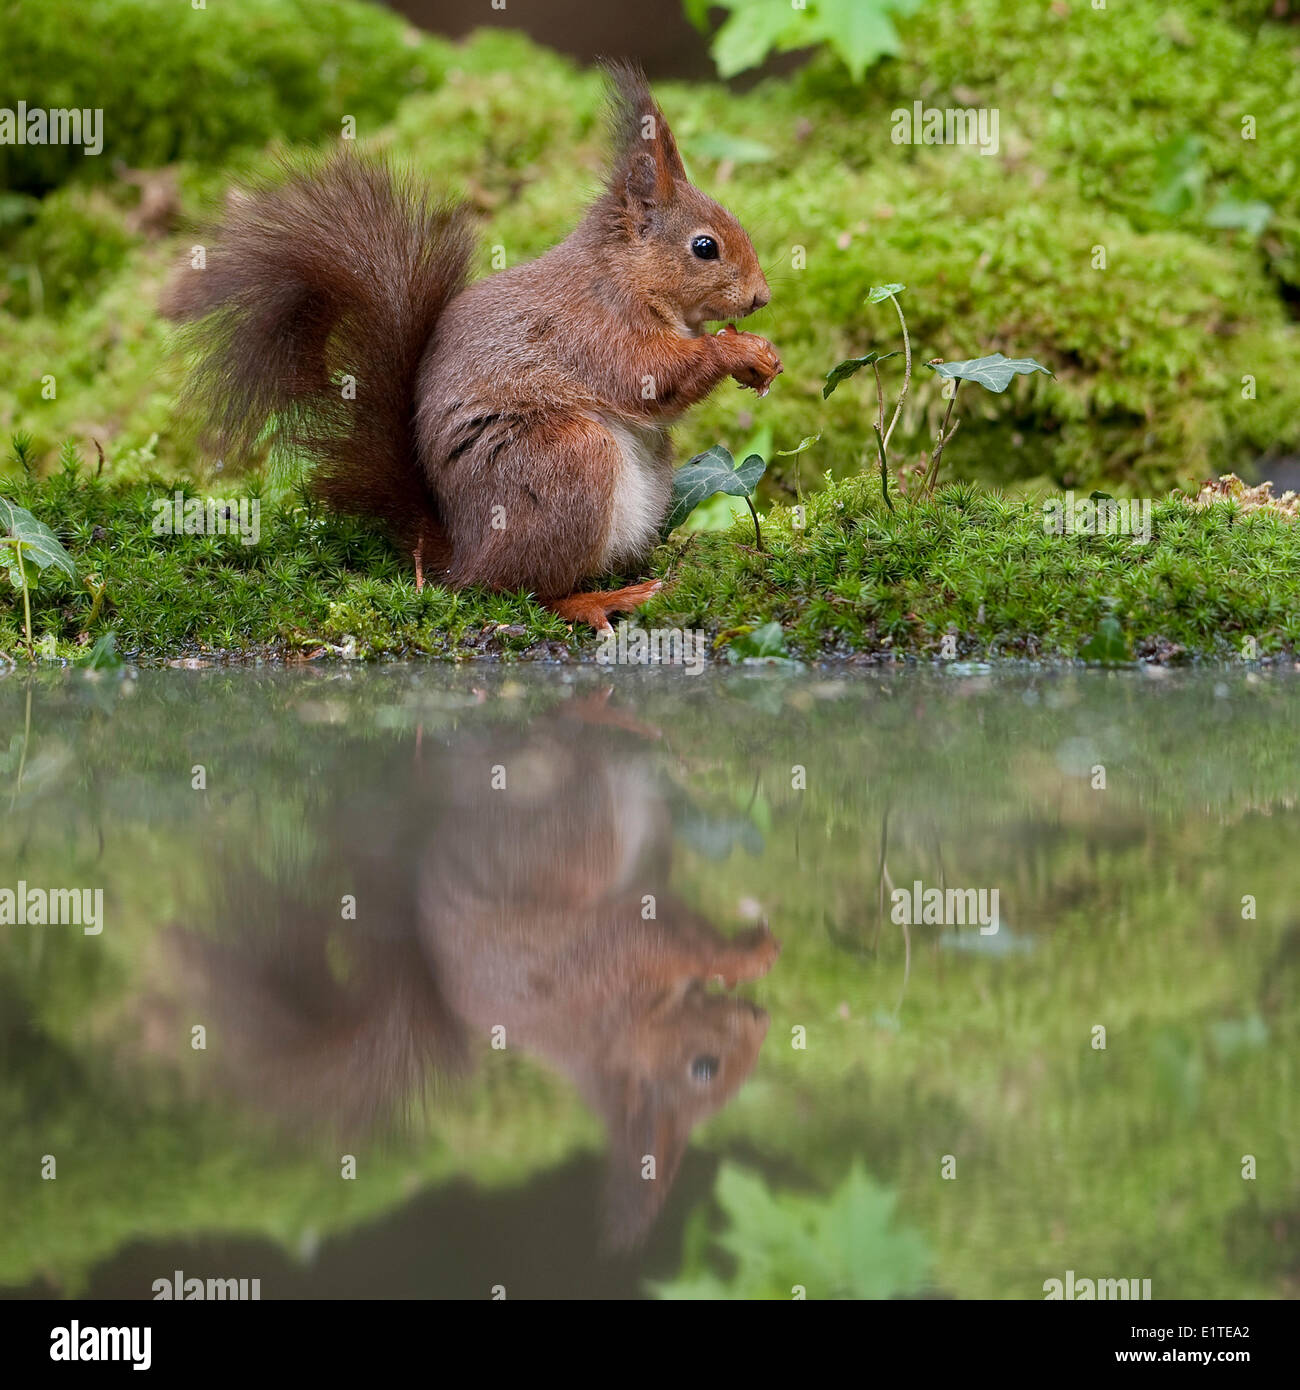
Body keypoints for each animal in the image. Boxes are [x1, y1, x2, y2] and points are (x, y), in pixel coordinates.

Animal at [163, 62, 781, 633]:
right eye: (704, 247)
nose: (762, 297)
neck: (628, 276)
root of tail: (460, 555)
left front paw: (759, 357)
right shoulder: (596, 331)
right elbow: (648, 377)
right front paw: (738, 352)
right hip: (566, 461)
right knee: (522, 589)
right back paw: (598, 600)